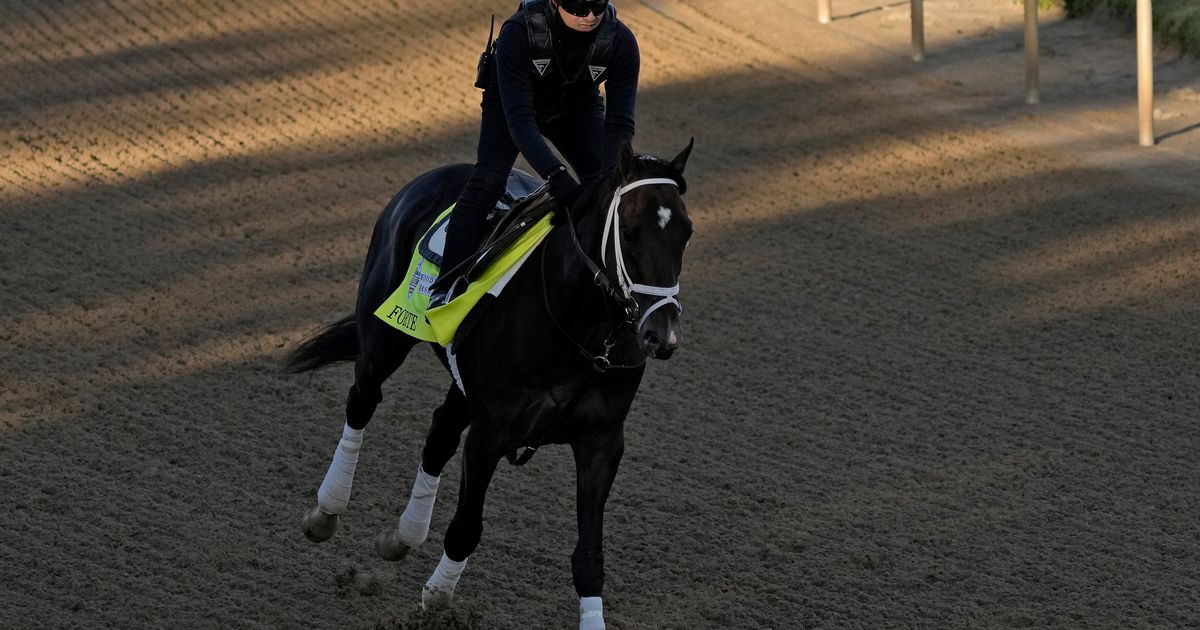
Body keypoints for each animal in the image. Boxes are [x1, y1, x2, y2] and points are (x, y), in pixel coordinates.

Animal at [285, 138, 694, 630]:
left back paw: (403, 536)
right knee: (363, 401)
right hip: (384, 337)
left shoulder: (602, 442)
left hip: (464, 387)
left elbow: (589, 555)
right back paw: (326, 511)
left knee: (440, 432)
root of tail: (431, 177)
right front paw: (437, 598)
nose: (662, 335)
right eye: (629, 231)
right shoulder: (492, 432)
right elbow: (465, 528)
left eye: (686, 233)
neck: (580, 330)